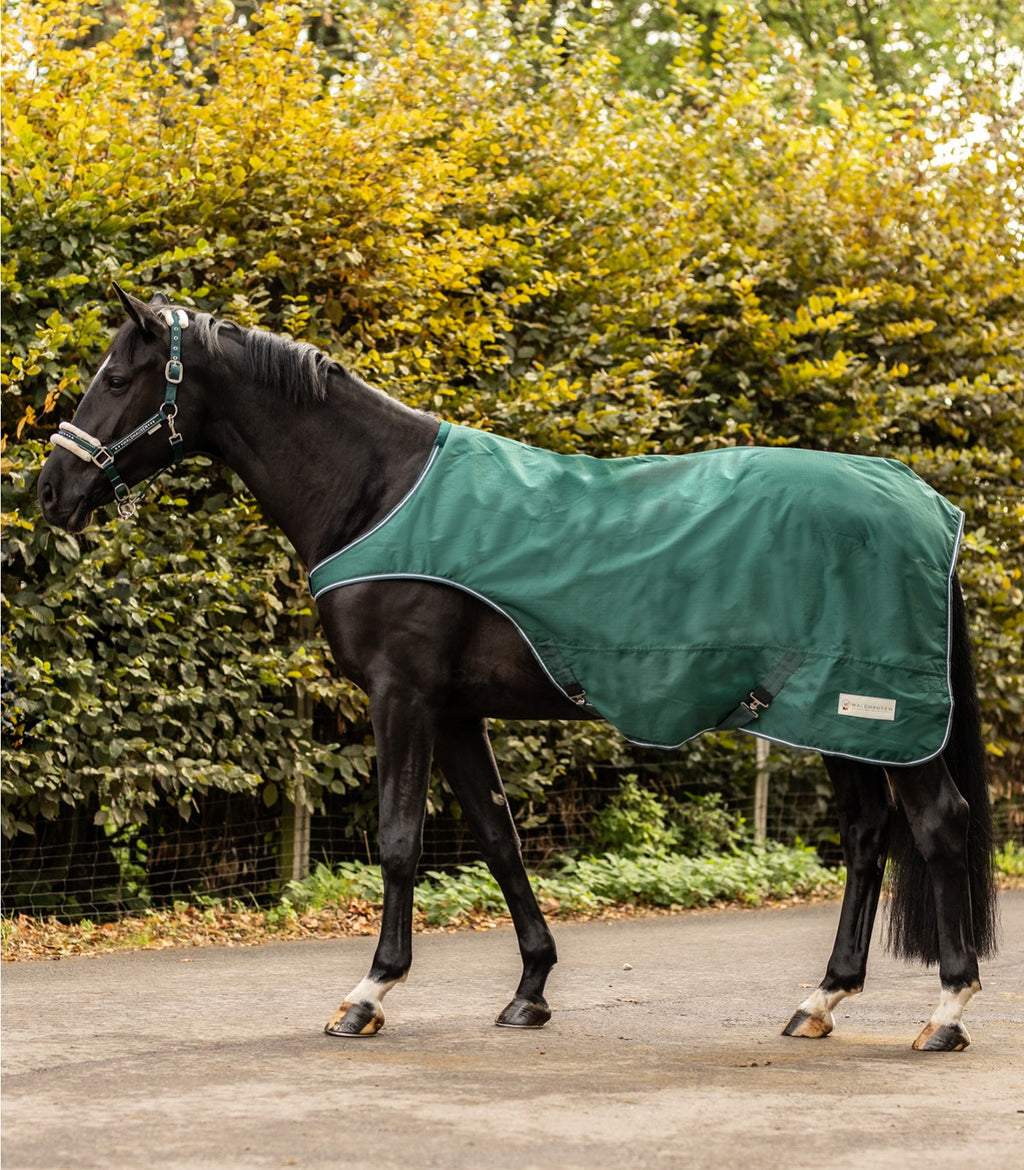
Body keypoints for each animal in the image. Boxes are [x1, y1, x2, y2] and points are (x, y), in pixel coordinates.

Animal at [37, 286, 998, 1051]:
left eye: (116, 380)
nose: (50, 491)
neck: (377, 492)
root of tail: (927, 504)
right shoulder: (456, 710)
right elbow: (499, 840)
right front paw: (531, 989)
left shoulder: (403, 698)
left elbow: (398, 839)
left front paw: (368, 995)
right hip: (835, 718)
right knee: (868, 837)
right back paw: (822, 1000)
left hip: (869, 714)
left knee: (937, 825)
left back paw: (947, 1012)